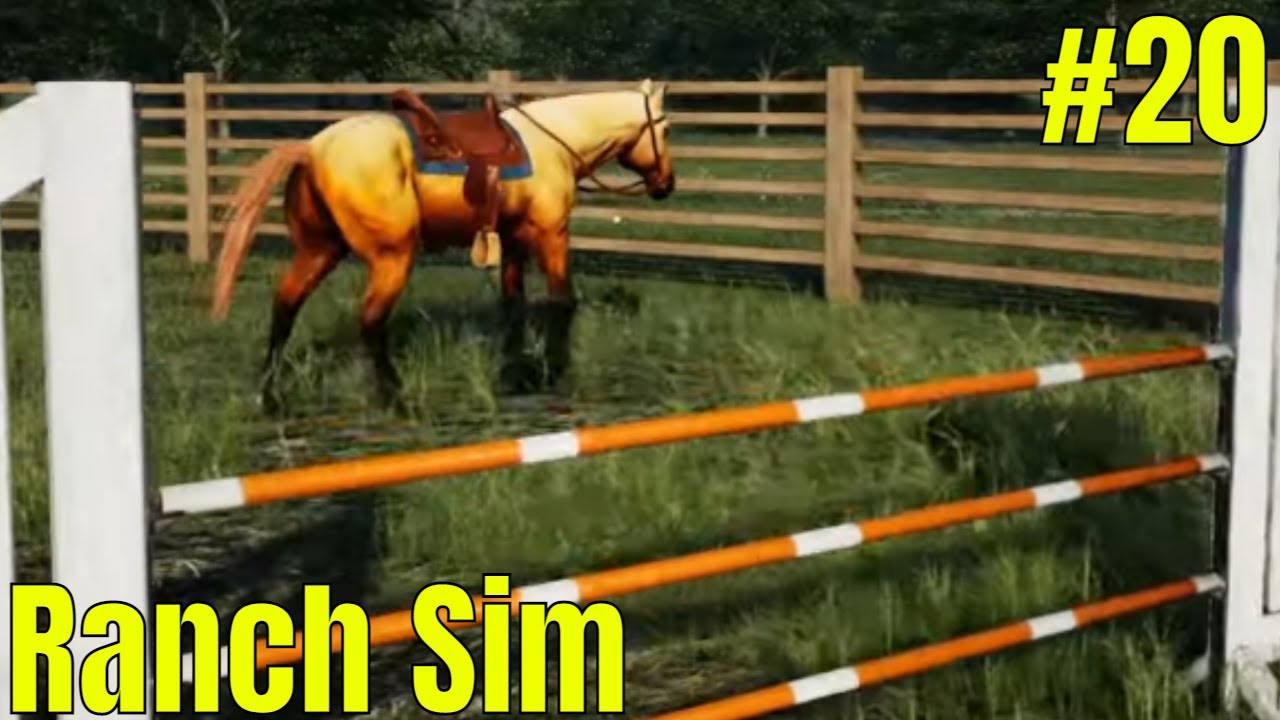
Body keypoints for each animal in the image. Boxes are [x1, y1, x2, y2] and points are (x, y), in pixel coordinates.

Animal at [210, 79, 675, 412]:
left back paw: (270, 397)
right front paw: (554, 374)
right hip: (392, 256)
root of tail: (311, 148)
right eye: (667, 128)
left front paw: (515, 375)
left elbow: (514, 305)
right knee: (371, 319)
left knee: (286, 305)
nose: (667, 185)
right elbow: (563, 304)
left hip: (318, 251)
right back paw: (395, 397)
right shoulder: (551, 235)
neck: (553, 143)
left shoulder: (512, 242)